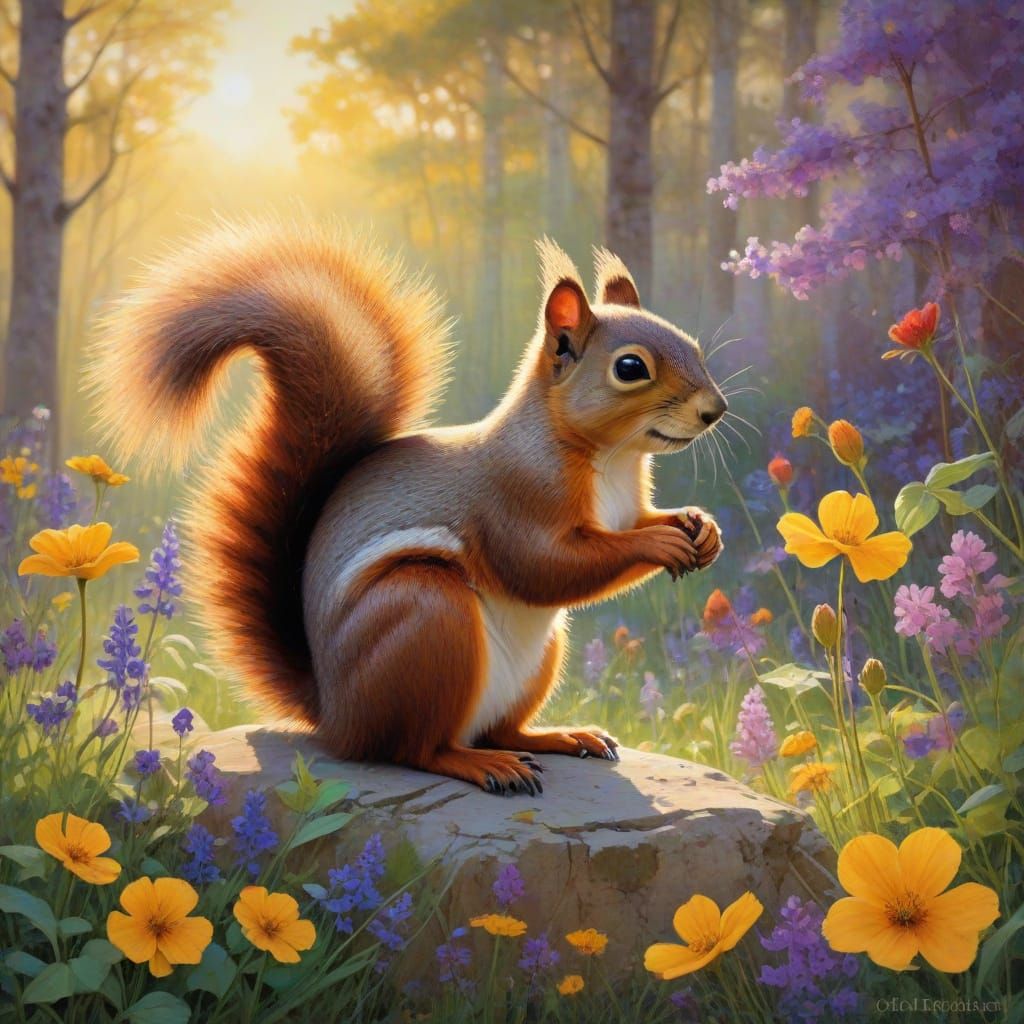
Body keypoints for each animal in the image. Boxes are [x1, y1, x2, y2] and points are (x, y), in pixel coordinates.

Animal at [90, 220, 728, 796]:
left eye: (695, 347)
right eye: (630, 368)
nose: (714, 410)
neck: (614, 459)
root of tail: (333, 714)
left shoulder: (624, 506)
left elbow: (631, 526)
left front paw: (701, 527)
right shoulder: (514, 498)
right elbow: (544, 567)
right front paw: (660, 543)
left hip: (535, 658)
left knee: (500, 728)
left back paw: (559, 736)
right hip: (426, 617)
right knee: (415, 748)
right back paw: (480, 765)